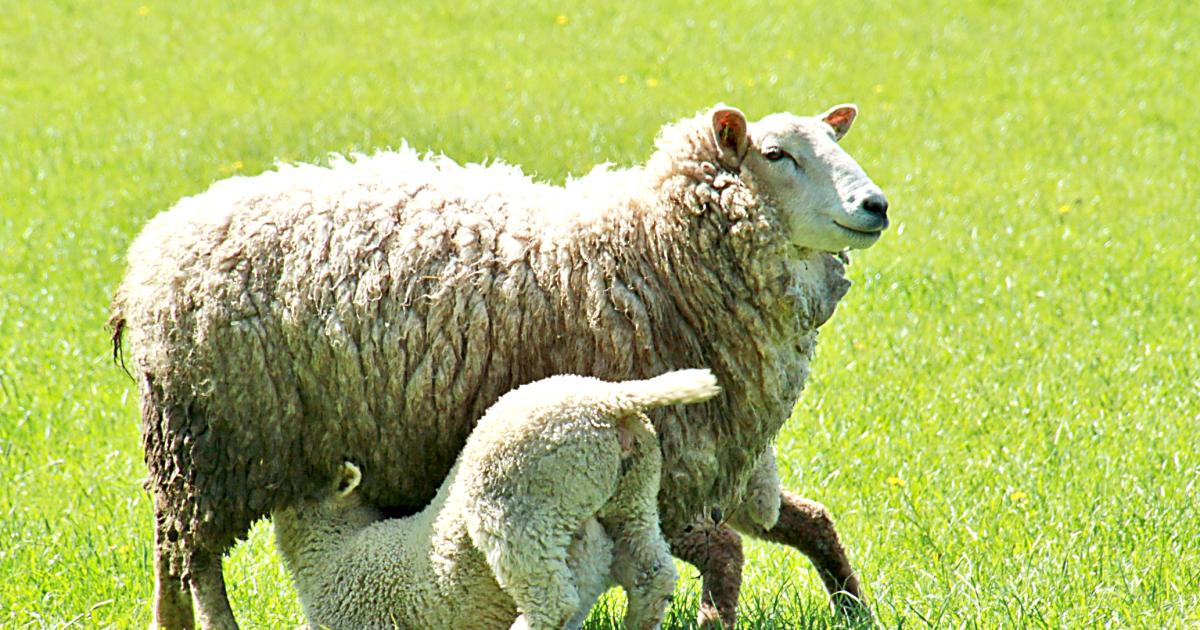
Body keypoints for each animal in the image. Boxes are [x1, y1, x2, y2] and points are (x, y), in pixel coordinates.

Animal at [273, 369, 721, 630]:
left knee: (553, 602)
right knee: (652, 575)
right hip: (632, 495)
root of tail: (609, 401)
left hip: (521, 507)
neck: (331, 552)